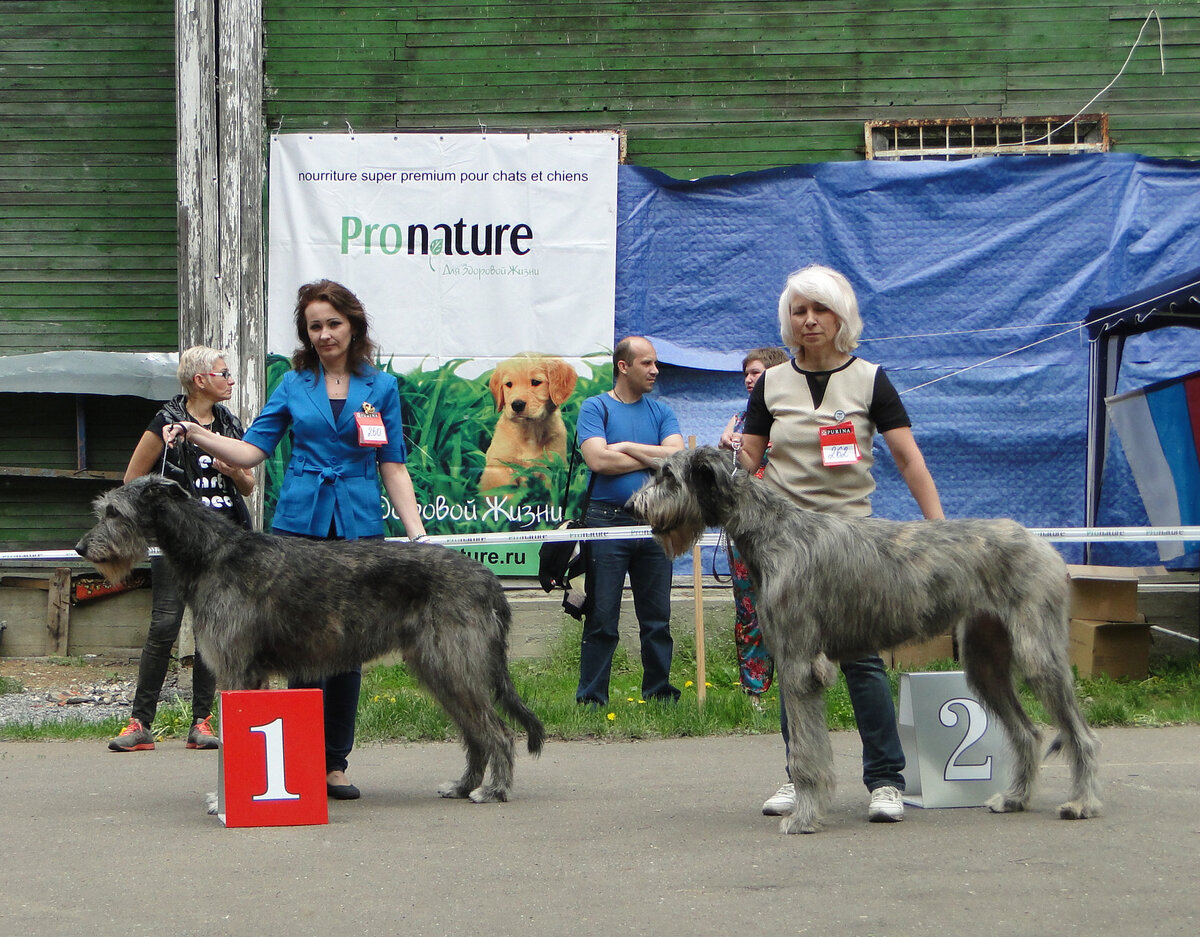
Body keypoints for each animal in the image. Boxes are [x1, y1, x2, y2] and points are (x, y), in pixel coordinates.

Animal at [75, 475, 544, 806]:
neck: (212, 553)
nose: (80, 547)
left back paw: (494, 791)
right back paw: (464, 785)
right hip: (439, 668)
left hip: (454, 663)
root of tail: (489, 580)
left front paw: (221, 800)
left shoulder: (237, 668)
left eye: (114, 511)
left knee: (497, 732)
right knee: (476, 733)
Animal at [633, 446, 1099, 835]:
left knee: (1080, 733)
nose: (631, 505)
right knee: (1027, 731)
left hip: (1037, 651)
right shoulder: (794, 660)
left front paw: (803, 818)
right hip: (984, 661)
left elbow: (805, 752)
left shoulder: (799, 664)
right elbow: (808, 746)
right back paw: (1017, 797)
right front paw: (807, 809)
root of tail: (1043, 546)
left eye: (667, 475)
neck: (774, 531)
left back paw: (1083, 803)